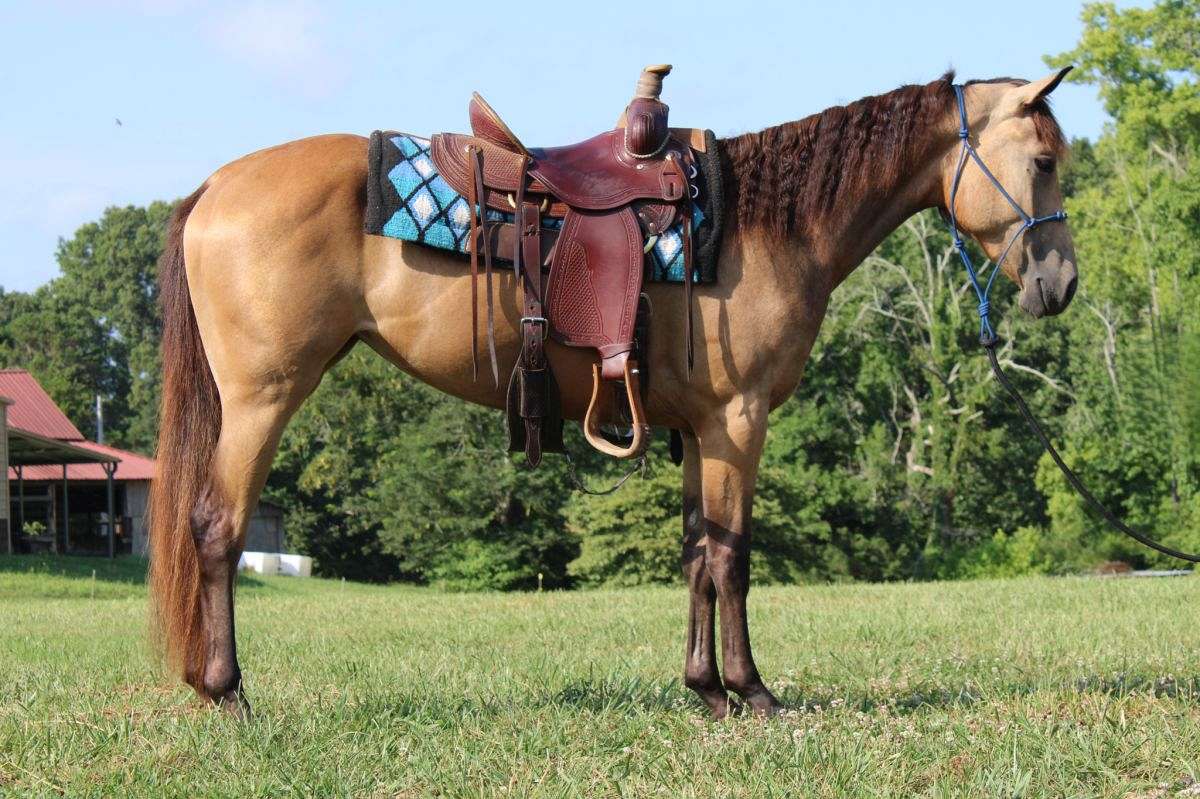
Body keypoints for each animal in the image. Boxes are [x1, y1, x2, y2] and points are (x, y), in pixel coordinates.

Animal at [148, 69, 1078, 719]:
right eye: (1042, 161)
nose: (1060, 283)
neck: (759, 222)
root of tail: (215, 187)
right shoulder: (739, 421)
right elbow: (734, 558)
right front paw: (755, 691)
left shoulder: (701, 429)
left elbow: (698, 553)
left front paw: (706, 689)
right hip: (263, 399)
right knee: (217, 528)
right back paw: (227, 690)